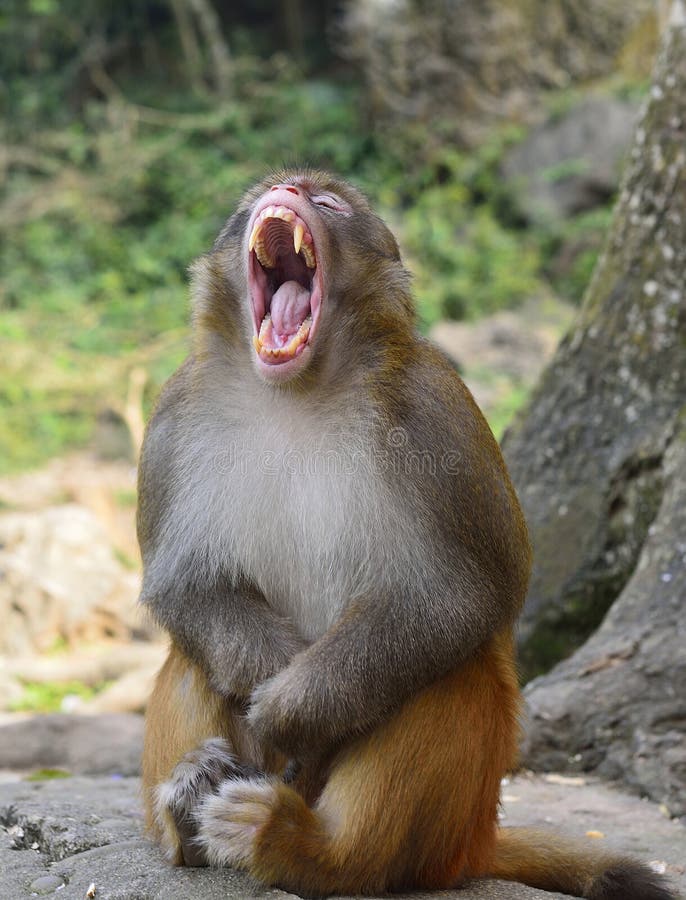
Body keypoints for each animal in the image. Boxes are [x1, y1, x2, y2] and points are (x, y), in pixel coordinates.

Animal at [139, 170, 675, 900]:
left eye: (328, 204)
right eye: (256, 199)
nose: (288, 188)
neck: (298, 392)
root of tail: (474, 845)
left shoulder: (434, 413)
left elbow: (460, 598)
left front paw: (289, 707)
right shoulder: (175, 417)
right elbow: (184, 582)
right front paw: (264, 674)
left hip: (455, 819)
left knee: (450, 672)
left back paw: (309, 850)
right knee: (193, 656)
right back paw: (191, 810)